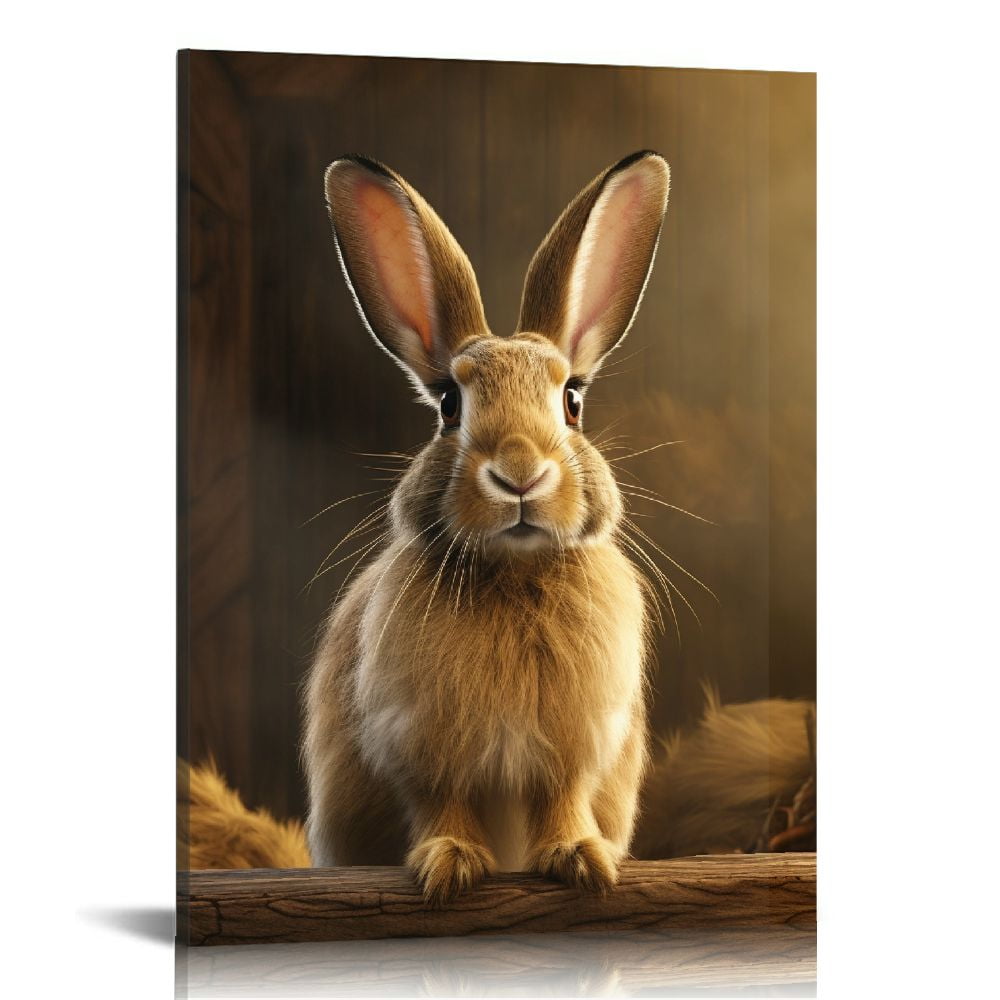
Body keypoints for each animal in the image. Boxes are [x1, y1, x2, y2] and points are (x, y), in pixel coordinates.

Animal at [302, 150, 671, 905]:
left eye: (572, 401)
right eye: (449, 403)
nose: (520, 473)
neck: (514, 570)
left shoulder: (576, 746)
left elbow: (563, 798)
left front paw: (581, 859)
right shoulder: (420, 742)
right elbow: (443, 802)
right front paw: (449, 864)